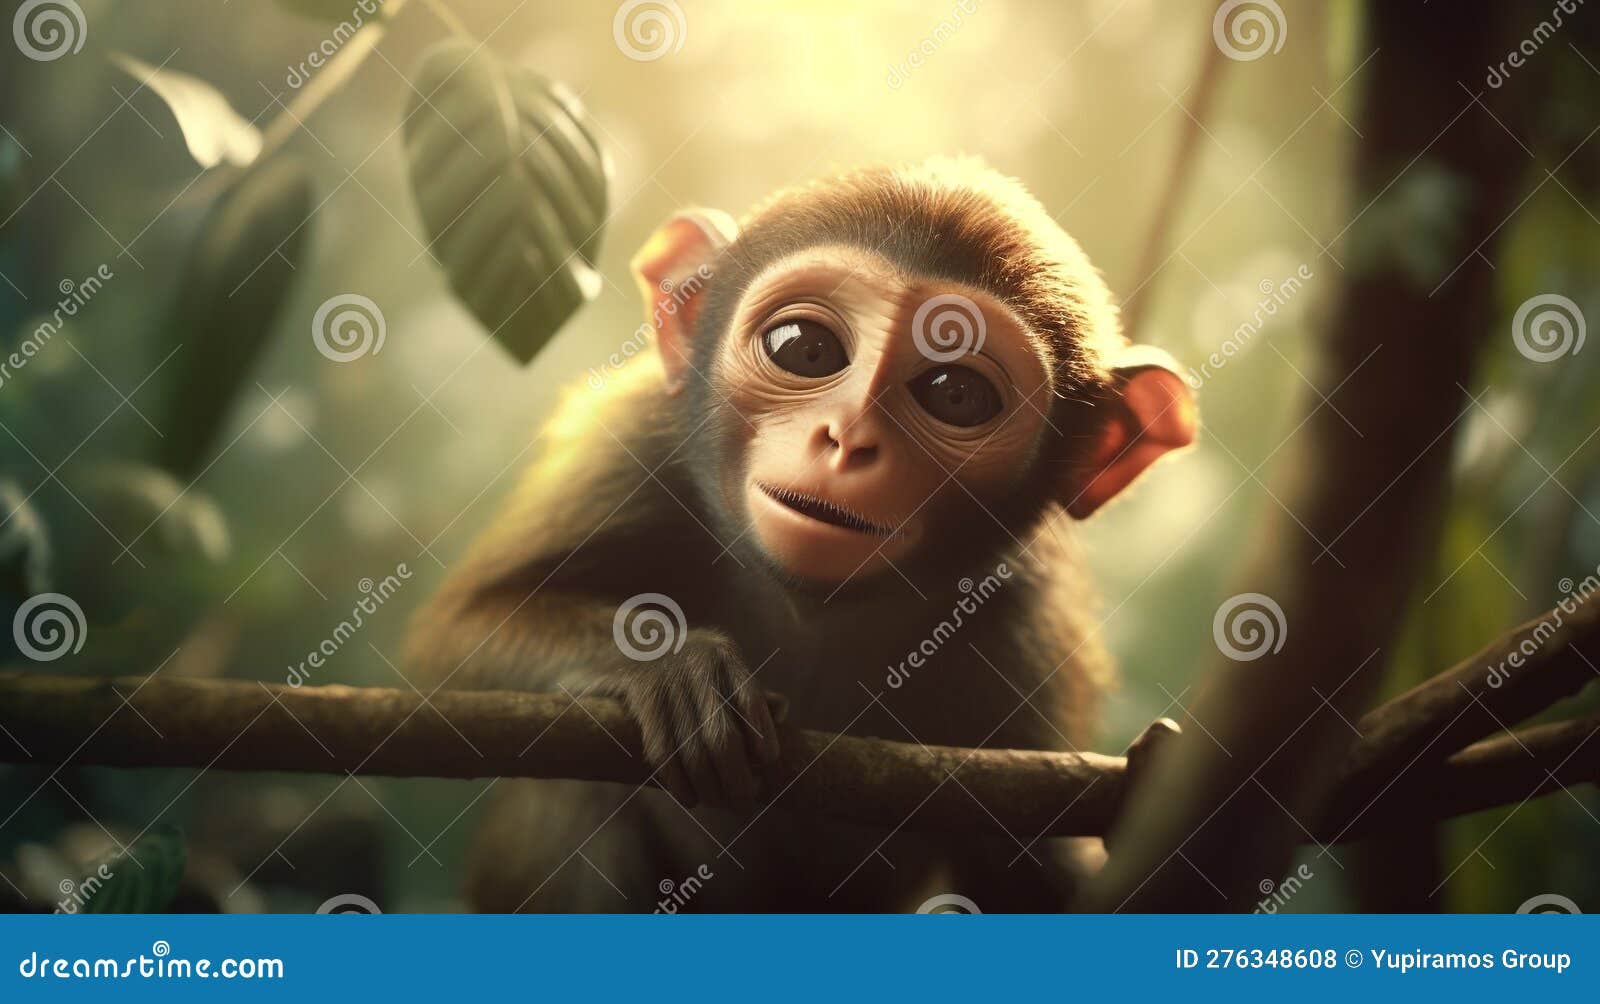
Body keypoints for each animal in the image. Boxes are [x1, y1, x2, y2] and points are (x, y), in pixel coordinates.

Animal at [404, 156, 1197, 913]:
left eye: (958, 394)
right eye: (804, 349)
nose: (847, 438)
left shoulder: (1028, 615)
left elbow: (1041, 879)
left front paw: (1164, 800)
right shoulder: (632, 445)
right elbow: (456, 637)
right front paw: (671, 668)